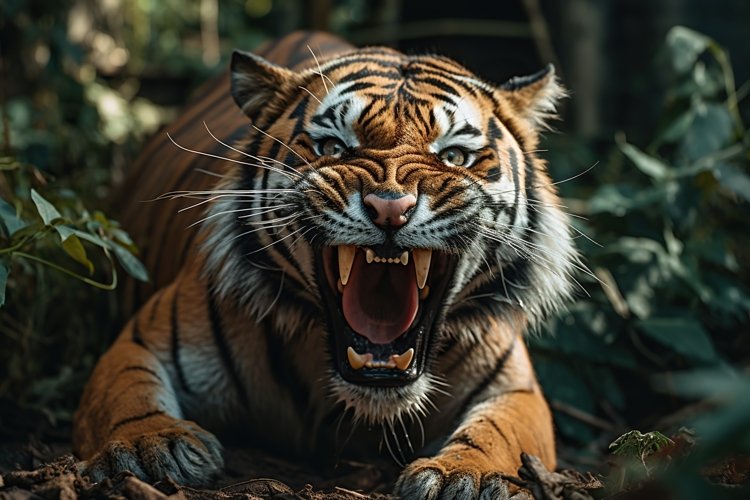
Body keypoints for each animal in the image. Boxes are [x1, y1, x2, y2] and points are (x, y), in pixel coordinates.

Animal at [73, 31, 578, 499]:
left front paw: (465, 475)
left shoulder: (514, 389)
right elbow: (125, 392)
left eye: (453, 156)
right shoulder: (140, 342)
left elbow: (501, 432)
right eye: (333, 147)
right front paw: (149, 445)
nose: (390, 208)